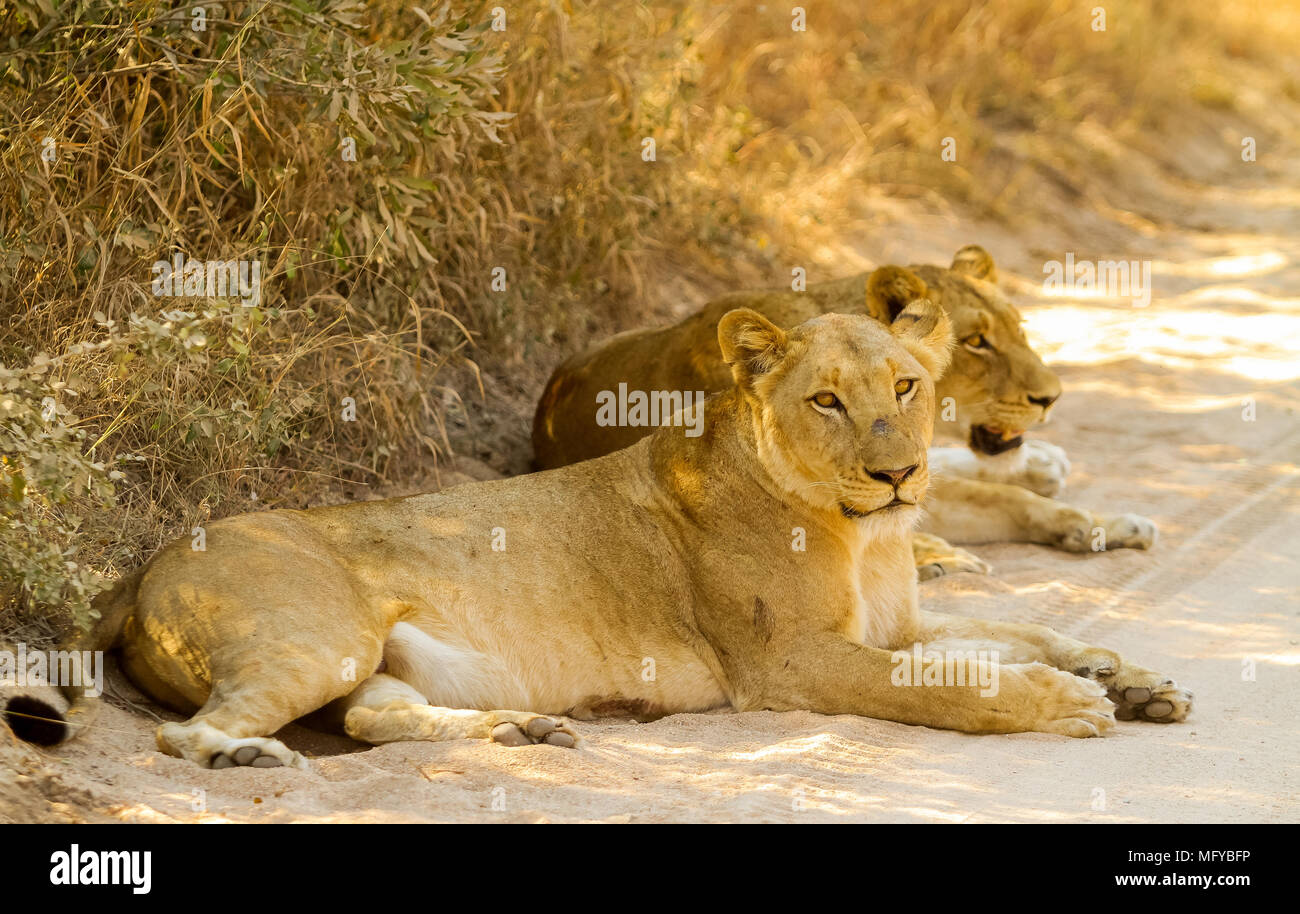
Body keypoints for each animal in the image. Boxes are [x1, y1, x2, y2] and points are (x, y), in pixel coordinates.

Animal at [23, 302, 1189, 768]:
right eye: (826, 400)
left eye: (906, 386)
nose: (900, 470)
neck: (864, 535)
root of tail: (146, 559)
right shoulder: (788, 664)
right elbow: (957, 681)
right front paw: (1069, 701)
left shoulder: (891, 626)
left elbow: (1012, 632)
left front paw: (1129, 677)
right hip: (320, 635)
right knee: (190, 733)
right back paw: (246, 755)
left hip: (368, 663)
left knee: (372, 720)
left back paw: (525, 731)